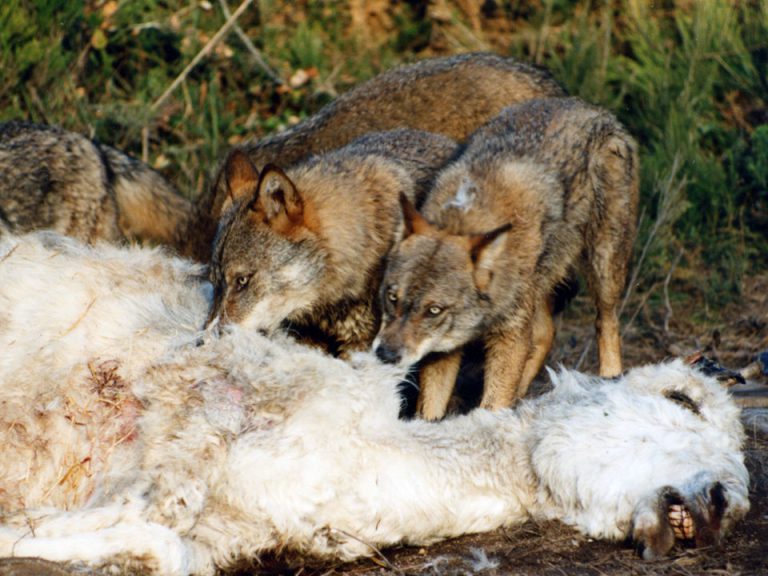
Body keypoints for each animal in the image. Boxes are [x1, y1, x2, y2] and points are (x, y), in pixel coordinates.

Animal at [0, 232, 750, 575]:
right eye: (684, 399)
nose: (725, 504)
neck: (362, 456)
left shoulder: (219, 532)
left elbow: (160, 545)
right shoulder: (199, 401)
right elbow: (146, 503)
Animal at [374, 97, 639, 419]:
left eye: (434, 310)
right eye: (392, 298)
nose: (385, 354)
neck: (466, 218)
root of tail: (594, 109)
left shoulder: (509, 335)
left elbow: (491, 403)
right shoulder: (447, 347)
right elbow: (430, 409)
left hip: (603, 267)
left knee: (607, 324)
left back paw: (609, 381)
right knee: (545, 334)